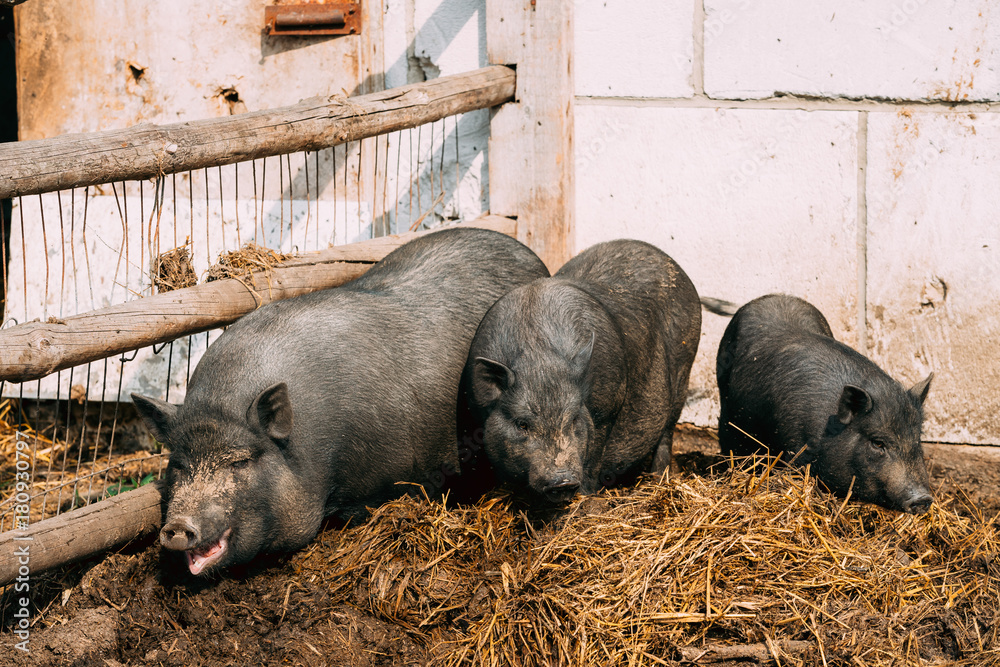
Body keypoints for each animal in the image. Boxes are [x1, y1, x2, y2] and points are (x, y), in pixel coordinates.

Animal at [454, 239, 701, 505]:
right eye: (522, 424)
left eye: (573, 420)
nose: (562, 481)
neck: (538, 355)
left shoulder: (607, 408)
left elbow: (594, 455)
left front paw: (585, 497)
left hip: (684, 368)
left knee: (667, 432)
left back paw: (657, 478)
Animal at [716, 293, 934, 514]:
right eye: (878, 442)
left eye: (917, 439)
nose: (923, 498)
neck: (827, 428)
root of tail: (773, 296)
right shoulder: (795, 447)